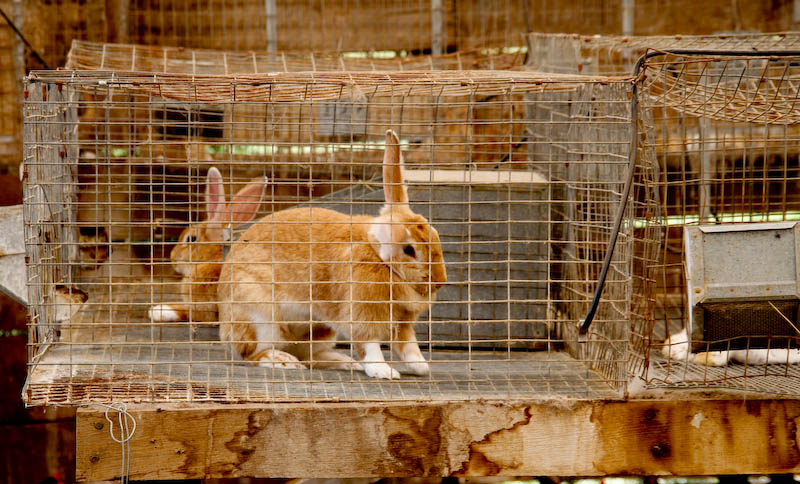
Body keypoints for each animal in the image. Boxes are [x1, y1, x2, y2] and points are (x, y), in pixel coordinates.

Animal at [216, 129, 447, 378]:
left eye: (436, 236)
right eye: (409, 250)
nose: (439, 282)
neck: (378, 256)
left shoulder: (401, 322)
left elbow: (408, 345)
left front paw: (420, 366)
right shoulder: (361, 313)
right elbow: (369, 345)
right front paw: (383, 371)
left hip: (320, 330)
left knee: (309, 356)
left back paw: (344, 362)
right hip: (261, 318)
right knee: (252, 355)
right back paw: (282, 361)